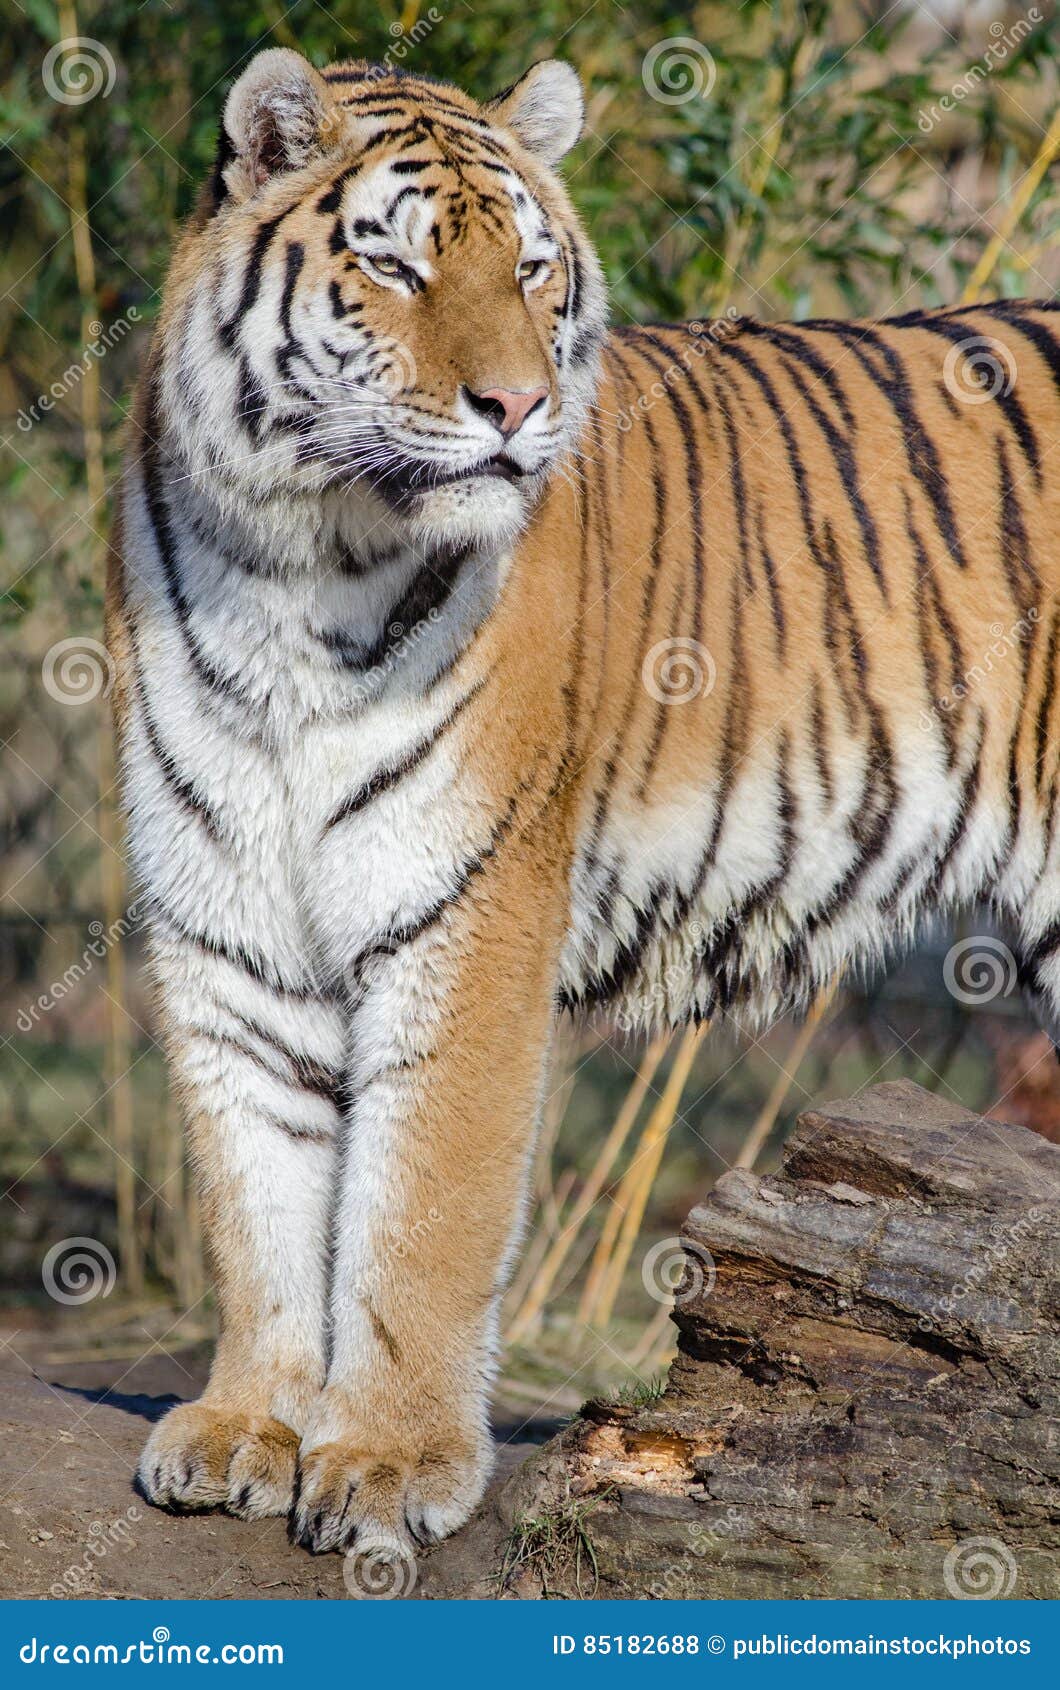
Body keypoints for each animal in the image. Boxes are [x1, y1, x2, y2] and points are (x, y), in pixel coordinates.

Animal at [108, 45, 1060, 1562]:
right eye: (396, 266)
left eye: (533, 269)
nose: (512, 411)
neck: (293, 568)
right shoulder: (225, 925)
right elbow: (258, 1202)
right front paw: (247, 1424)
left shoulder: (467, 912)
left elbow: (419, 1211)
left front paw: (387, 1459)